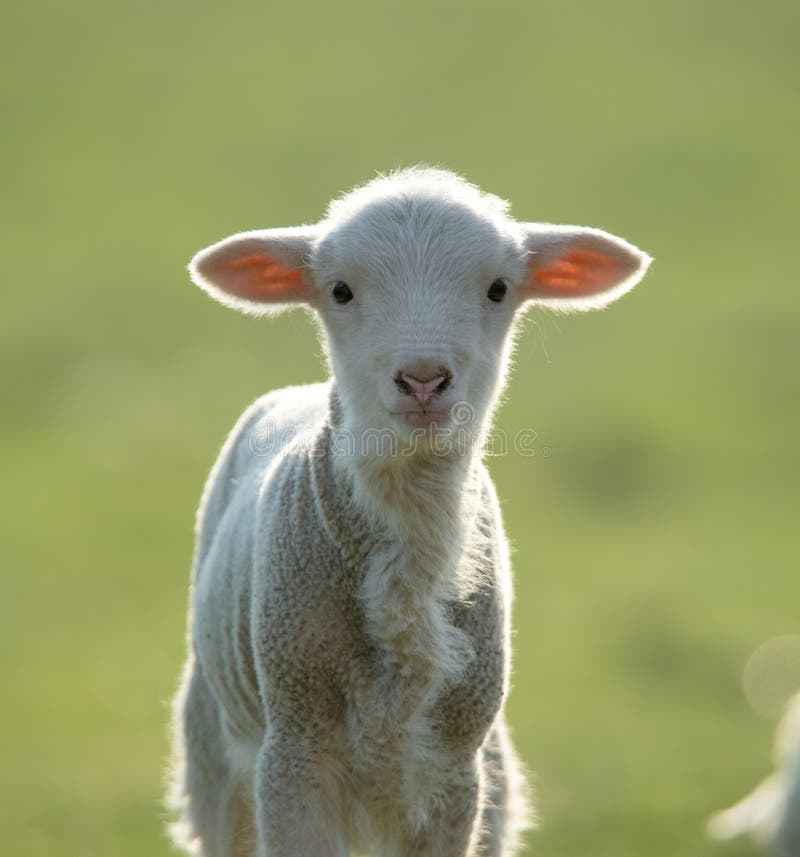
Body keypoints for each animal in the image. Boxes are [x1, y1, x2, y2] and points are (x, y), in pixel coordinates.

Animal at [167, 167, 651, 857]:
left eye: (498, 288)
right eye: (340, 290)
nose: (423, 378)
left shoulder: (454, 771)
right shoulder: (294, 751)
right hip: (217, 755)